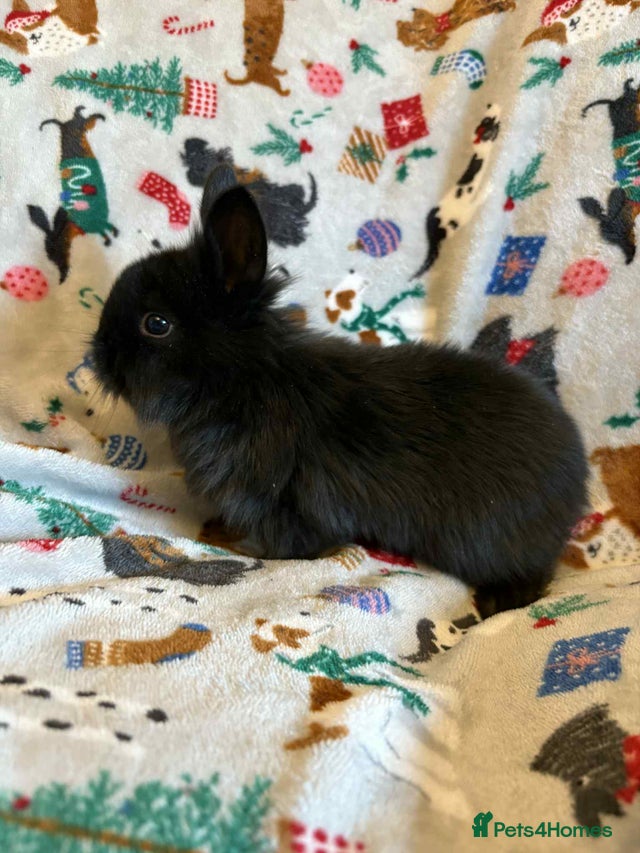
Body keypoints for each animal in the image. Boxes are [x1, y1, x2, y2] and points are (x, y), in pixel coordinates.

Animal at [92, 165, 588, 618]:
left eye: (156, 324)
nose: (96, 356)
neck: (245, 379)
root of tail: (576, 488)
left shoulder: (285, 502)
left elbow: (289, 545)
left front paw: (235, 545)